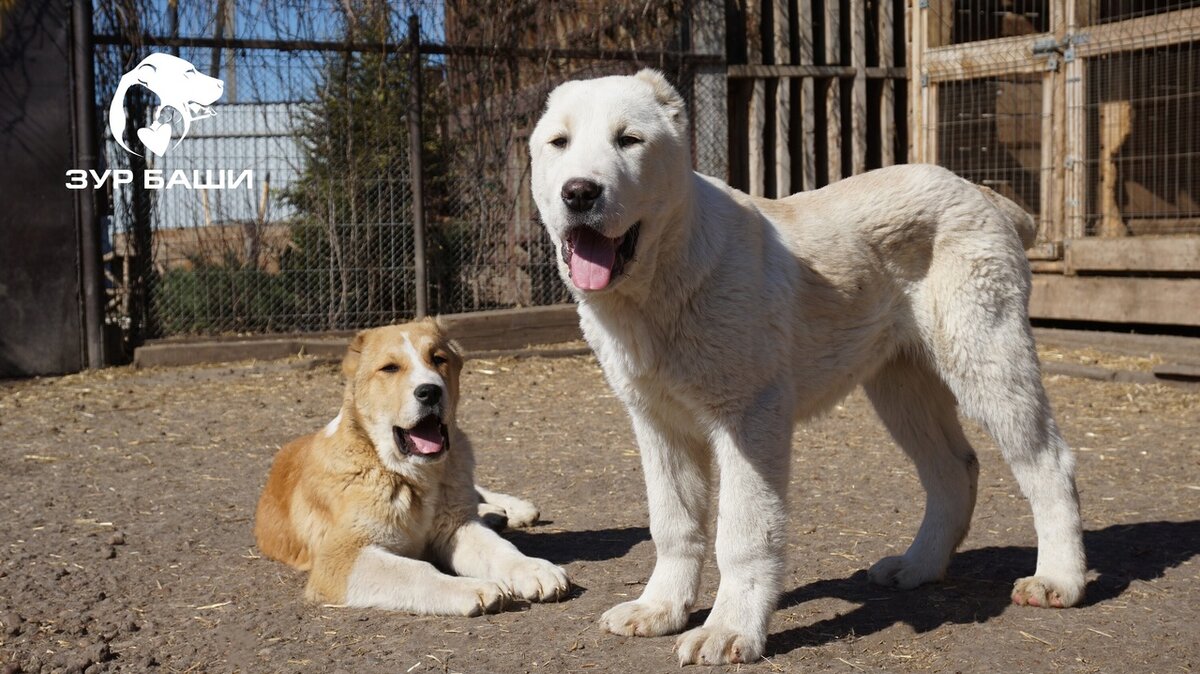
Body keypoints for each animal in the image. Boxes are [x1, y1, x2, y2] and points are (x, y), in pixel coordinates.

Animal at [252, 316, 566, 611]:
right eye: (390, 368)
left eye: (439, 359)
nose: (430, 391)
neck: (406, 475)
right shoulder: (340, 560)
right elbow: (417, 571)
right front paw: (472, 587)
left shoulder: (457, 527)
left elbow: (501, 549)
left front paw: (534, 568)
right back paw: (494, 514)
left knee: (477, 493)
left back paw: (512, 509)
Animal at [530, 70, 1084, 662]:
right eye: (559, 143)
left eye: (629, 140)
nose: (579, 192)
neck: (660, 281)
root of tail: (981, 193)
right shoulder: (658, 423)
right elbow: (672, 523)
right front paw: (661, 608)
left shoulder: (751, 418)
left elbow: (743, 534)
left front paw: (731, 630)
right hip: (901, 385)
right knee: (955, 469)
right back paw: (918, 566)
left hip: (986, 356)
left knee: (1048, 462)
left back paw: (1059, 578)